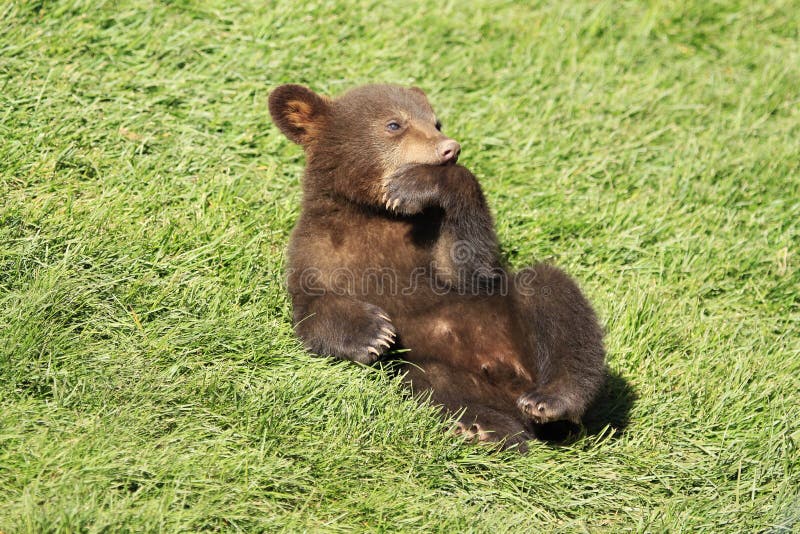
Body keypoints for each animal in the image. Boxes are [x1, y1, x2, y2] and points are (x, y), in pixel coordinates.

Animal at [269, 83, 606, 449]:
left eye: (436, 122)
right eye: (394, 124)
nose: (449, 148)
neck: (375, 213)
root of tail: (513, 383)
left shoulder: (433, 239)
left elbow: (468, 265)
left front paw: (414, 185)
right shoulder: (317, 249)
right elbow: (310, 311)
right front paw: (373, 332)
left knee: (554, 298)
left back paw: (550, 399)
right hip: (436, 369)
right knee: (433, 384)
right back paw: (483, 428)